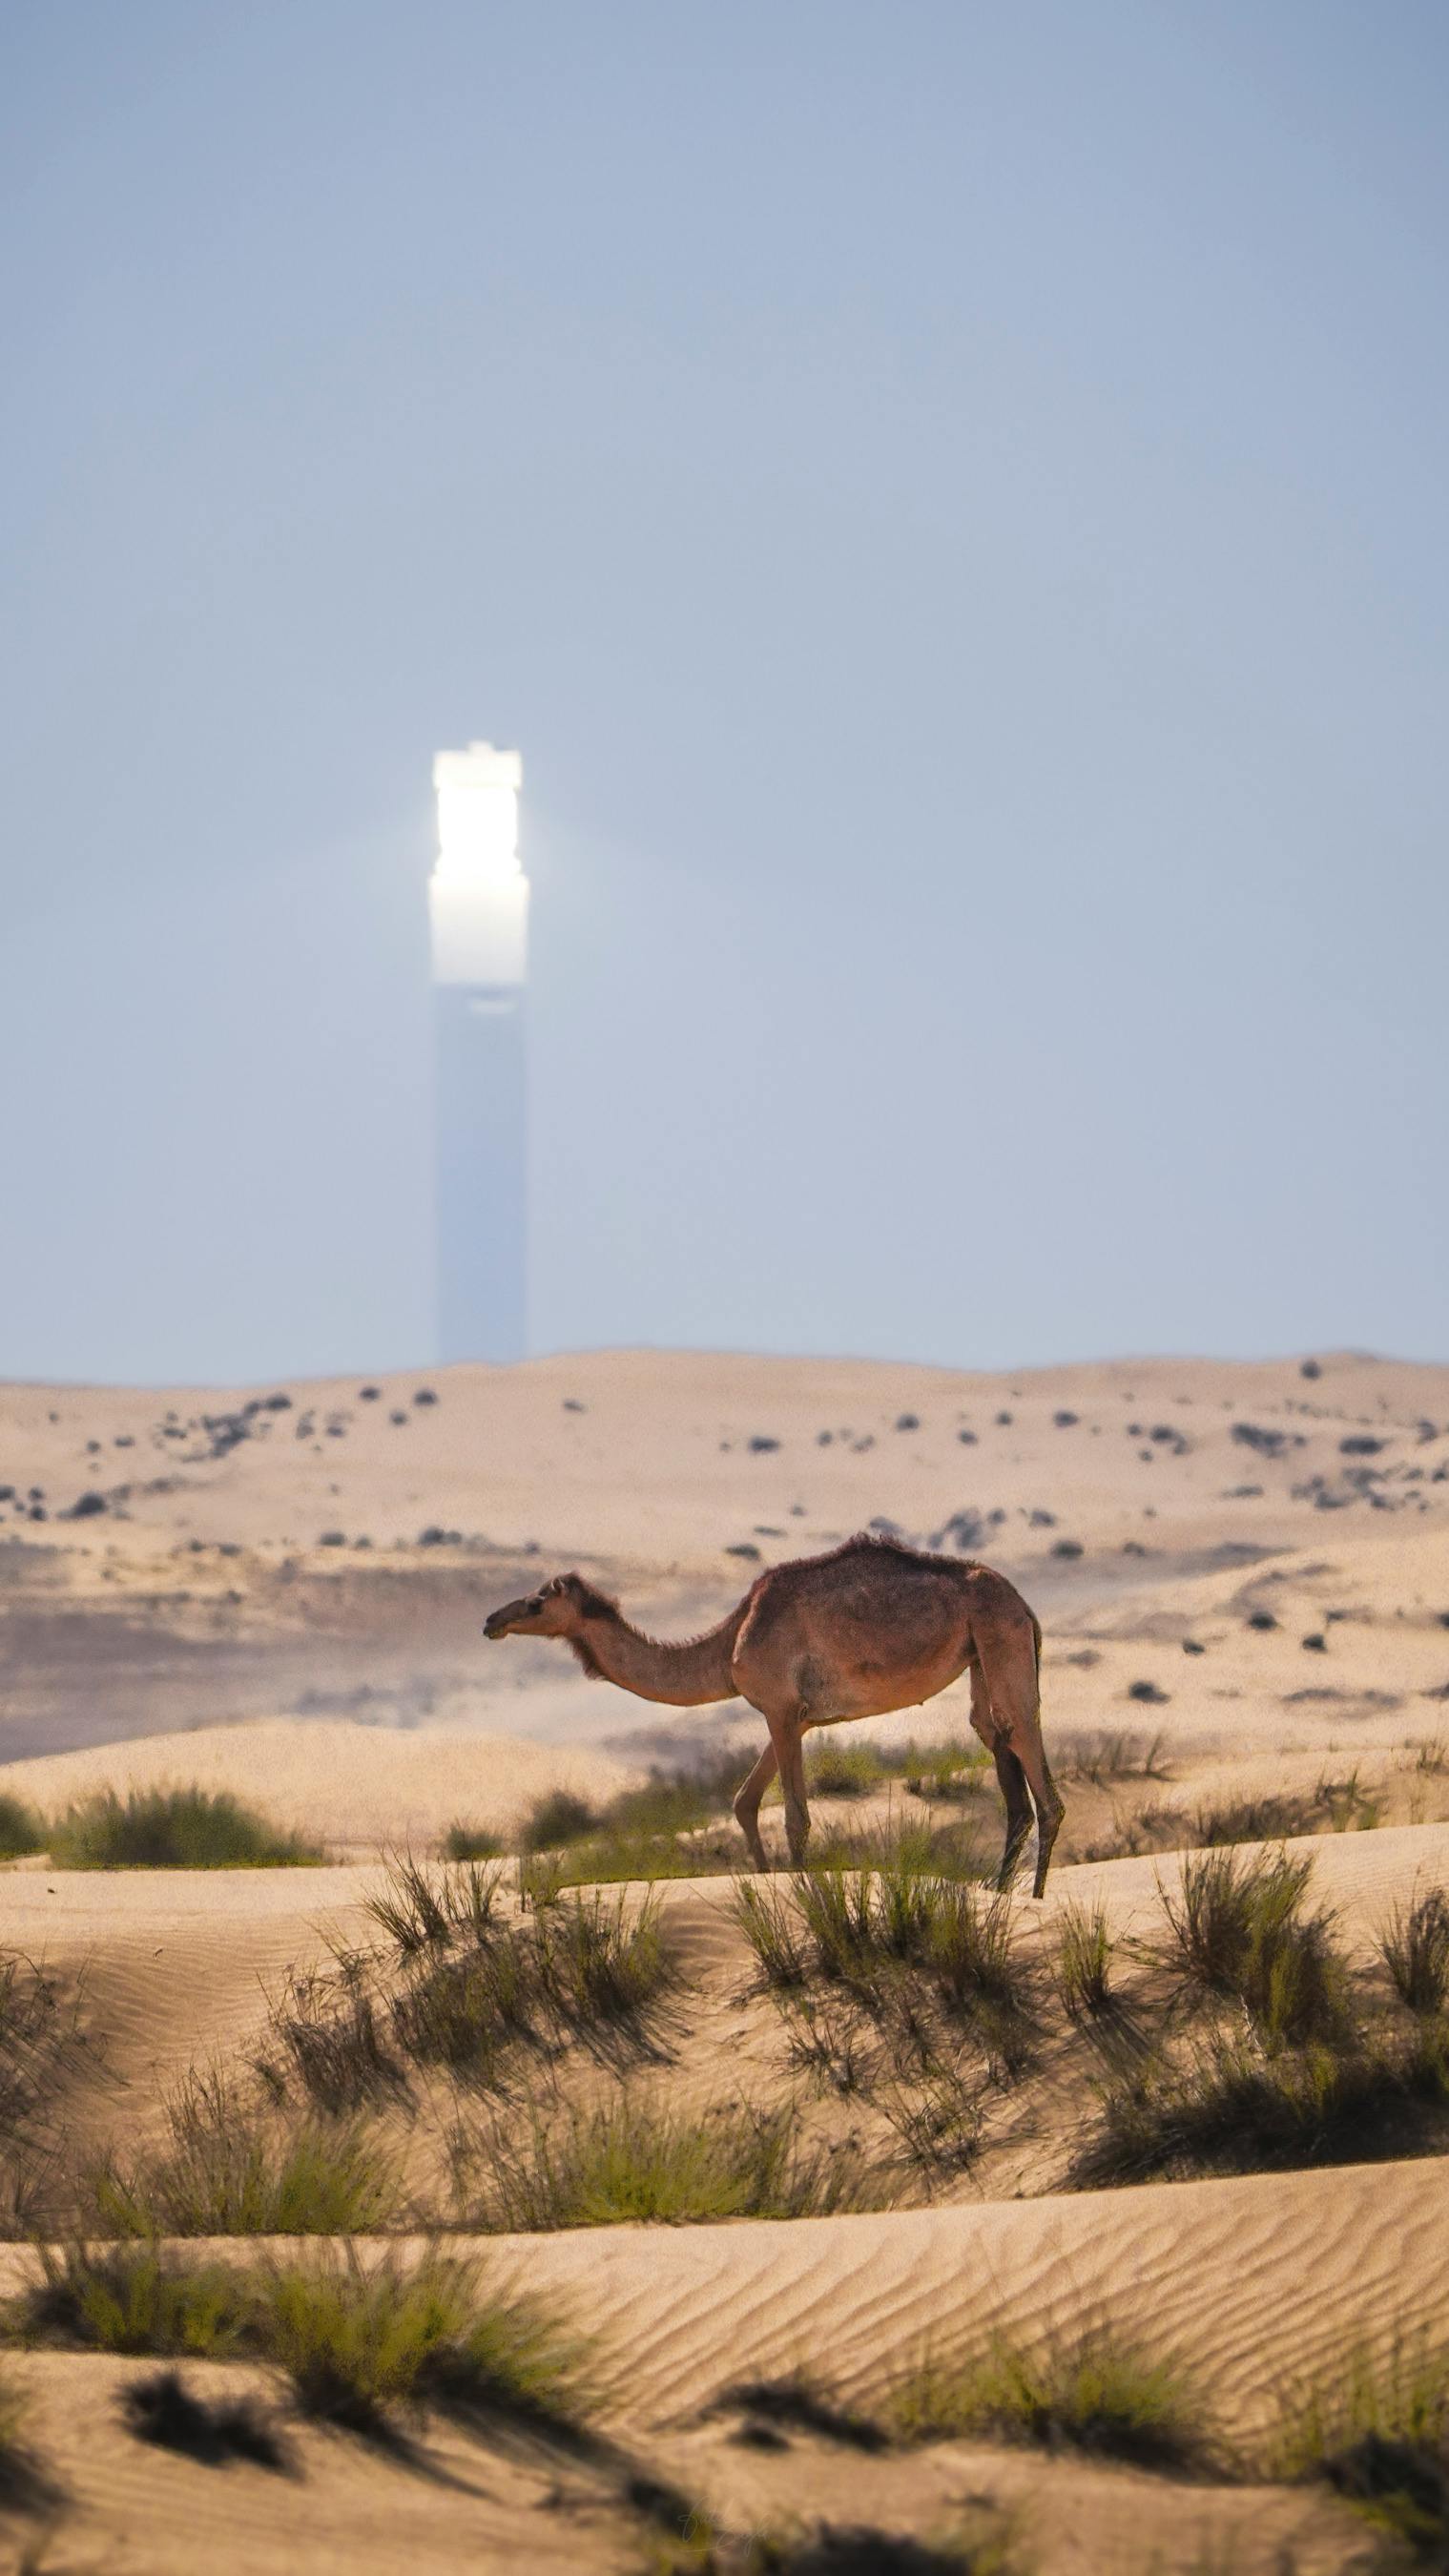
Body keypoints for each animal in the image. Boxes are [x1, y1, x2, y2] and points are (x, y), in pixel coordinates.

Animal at [483, 1534, 1064, 1896]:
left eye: (537, 1602)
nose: (492, 1620)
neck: (728, 1645)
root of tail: (1025, 1603)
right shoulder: (794, 1716)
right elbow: (744, 1801)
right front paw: (766, 1883)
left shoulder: (782, 1711)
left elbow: (795, 1818)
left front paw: (802, 1894)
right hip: (980, 1650)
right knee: (996, 1735)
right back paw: (999, 1889)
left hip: (1000, 1631)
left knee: (1030, 1750)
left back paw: (1035, 1896)